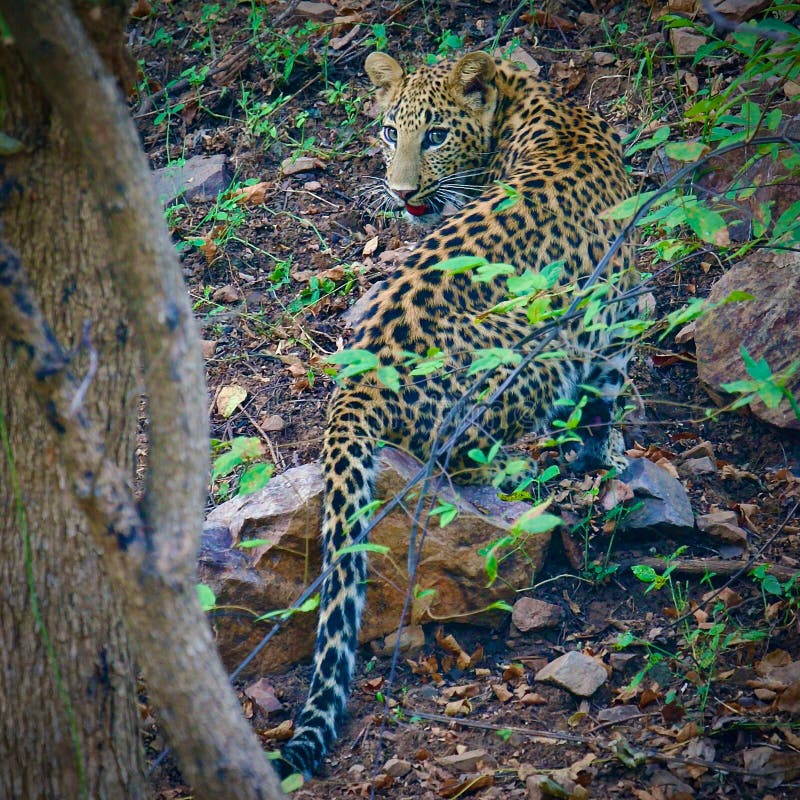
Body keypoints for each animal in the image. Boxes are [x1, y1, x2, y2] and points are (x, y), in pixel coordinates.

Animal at [276, 50, 637, 780]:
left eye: (436, 135)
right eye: (391, 132)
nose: (400, 191)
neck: (526, 102)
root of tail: (362, 377)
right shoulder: (614, 312)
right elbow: (603, 398)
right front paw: (602, 456)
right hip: (531, 350)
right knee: (455, 462)